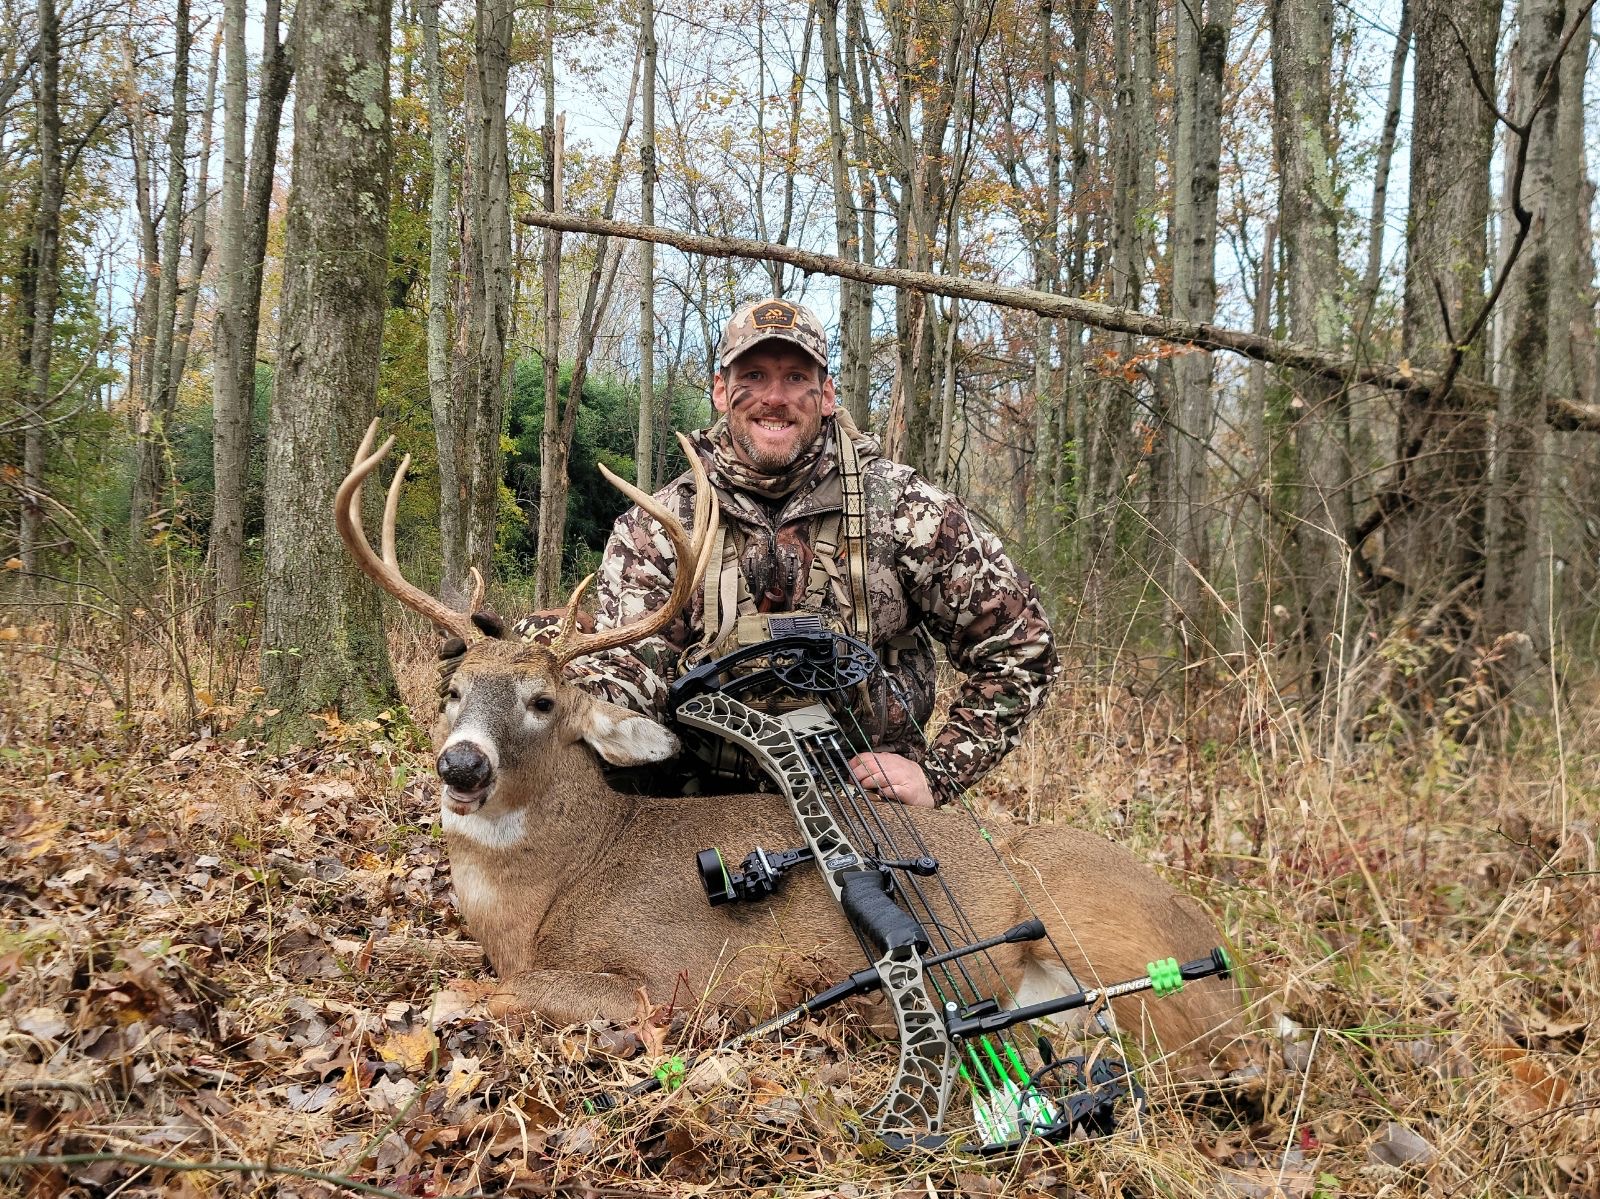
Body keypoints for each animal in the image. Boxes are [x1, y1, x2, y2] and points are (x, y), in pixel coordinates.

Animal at [336, 421, 1243, 1070]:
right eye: (451, 691)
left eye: (542, 700)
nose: (462, 764)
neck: (550, 886)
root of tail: (1215, 945)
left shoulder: (657, 983)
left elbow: (478, 994)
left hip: (1102, 938)